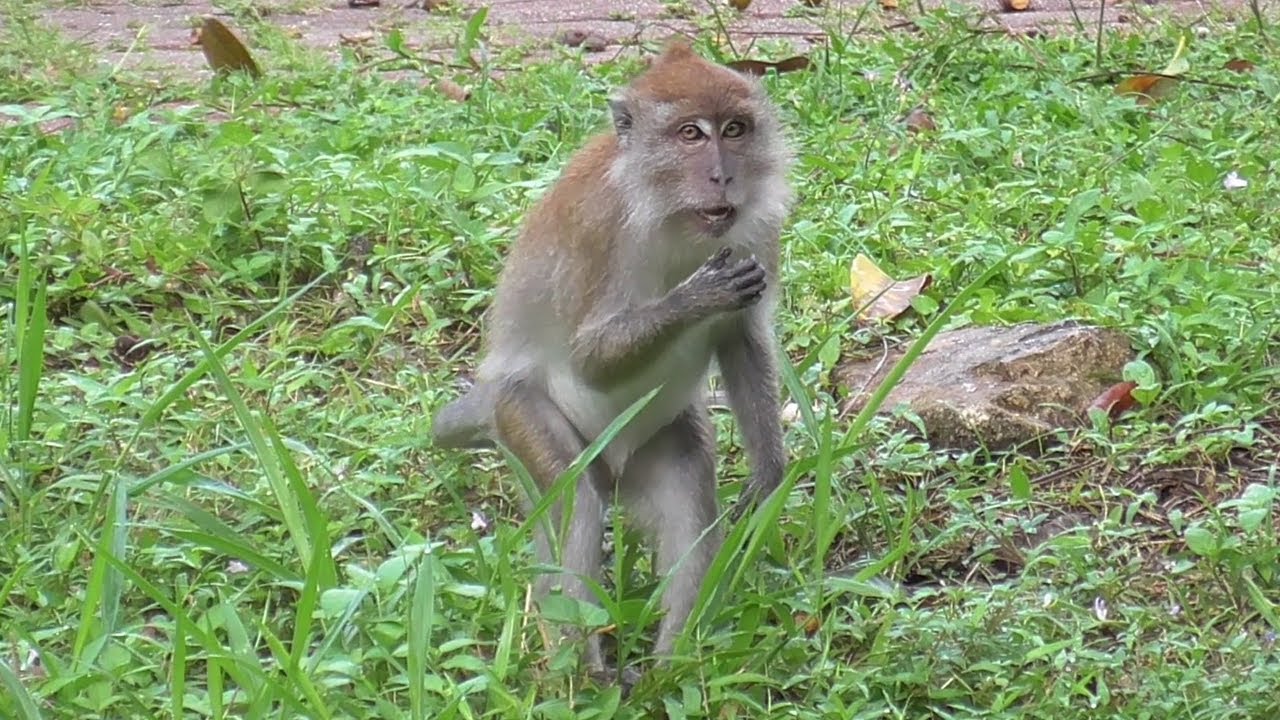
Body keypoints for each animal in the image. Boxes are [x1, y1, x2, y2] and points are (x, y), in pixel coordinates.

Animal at [431, 39, 793, 680]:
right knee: (576, 497)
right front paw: (696, 298)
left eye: (735, 129)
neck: (672, 214)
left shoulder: (757, 232)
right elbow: (588, 362)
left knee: (688, 502)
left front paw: (769, 474)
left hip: (656, 446)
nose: (724, 175)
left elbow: (742, 341)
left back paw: (671, 665)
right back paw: (585, 672)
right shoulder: (598, 231)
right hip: (520, 417)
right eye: (691, 134)